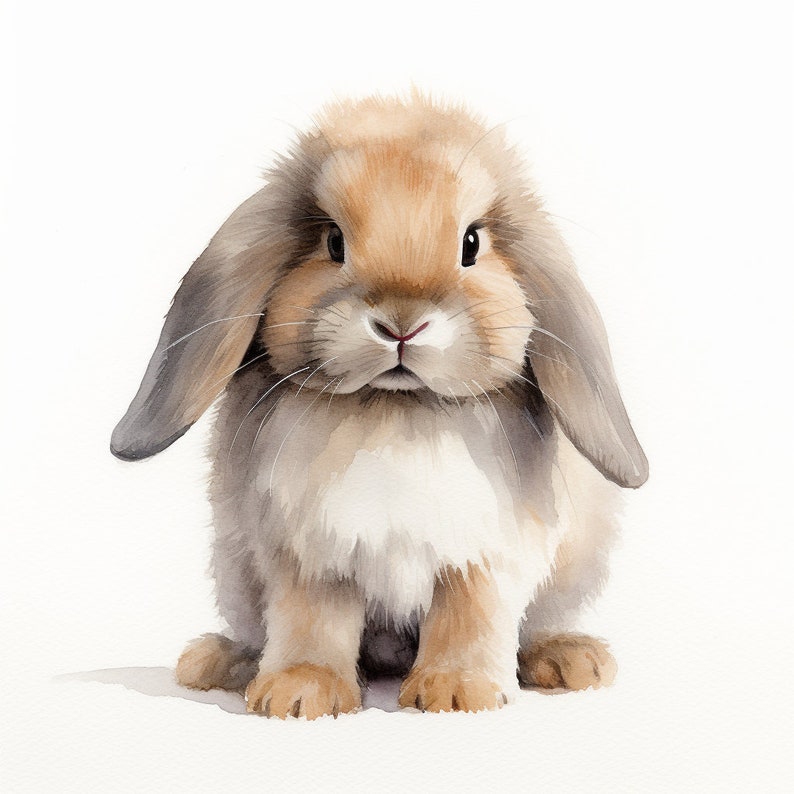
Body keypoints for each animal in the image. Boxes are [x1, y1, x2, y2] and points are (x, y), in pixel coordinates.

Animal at [111, 92, 648, 719]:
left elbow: (471, 613)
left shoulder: (486, 553)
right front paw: (299, 693)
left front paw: (458, 692)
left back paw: (573, 660)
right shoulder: (311, 553)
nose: (401, 324)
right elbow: (313, 619)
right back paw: (216, 662)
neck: (397, 411)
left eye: (472, 244)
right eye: (333, 242)